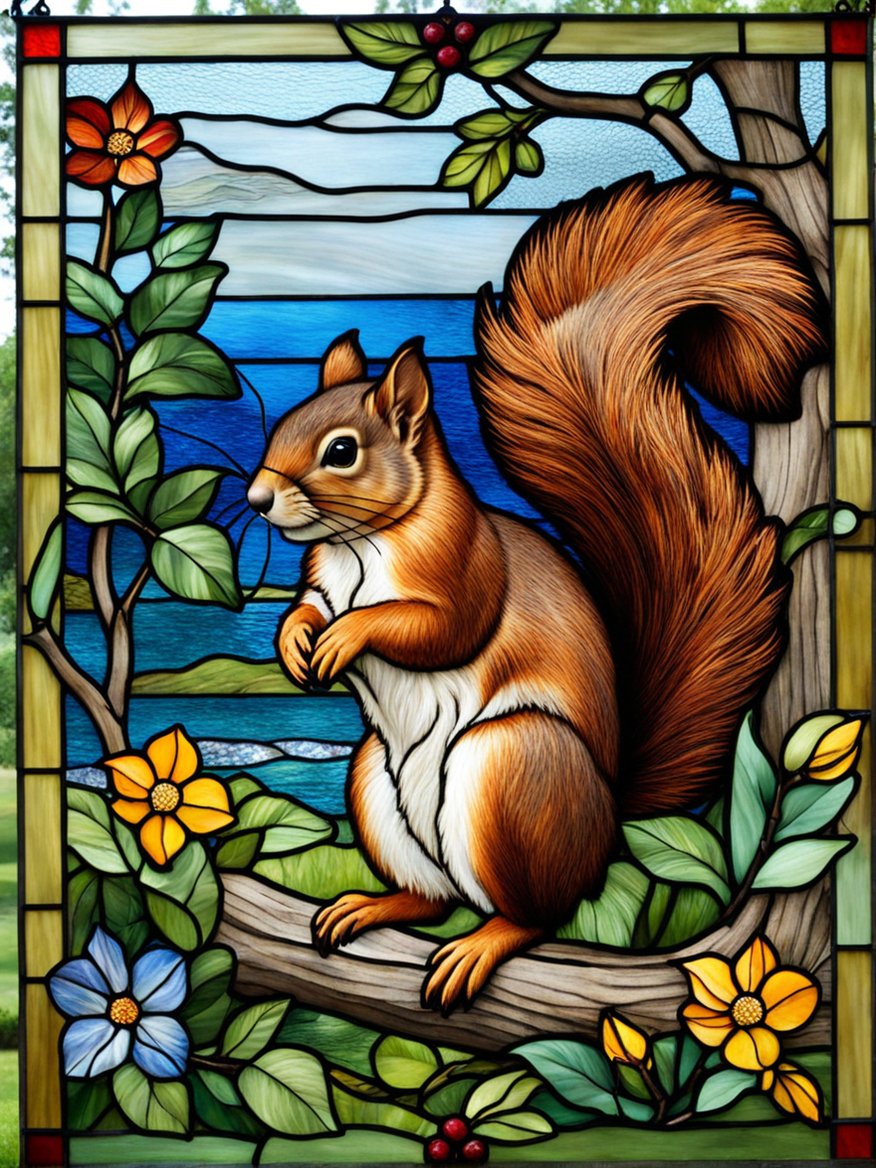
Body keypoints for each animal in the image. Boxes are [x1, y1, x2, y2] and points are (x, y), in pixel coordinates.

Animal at [247, 174, 826, 1012]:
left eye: (342, 451)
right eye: (282, 425)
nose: (257, 498)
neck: (362, 546)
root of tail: (606, 822)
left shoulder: (466, 568)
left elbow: (439, 629)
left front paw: (350, 637)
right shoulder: (326, 580)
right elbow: (310, 608)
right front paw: (296, 641)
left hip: (509, 767)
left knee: (533, 915)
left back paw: (481, 945)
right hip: (376, 787)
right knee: (434, 898)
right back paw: (373, 905)